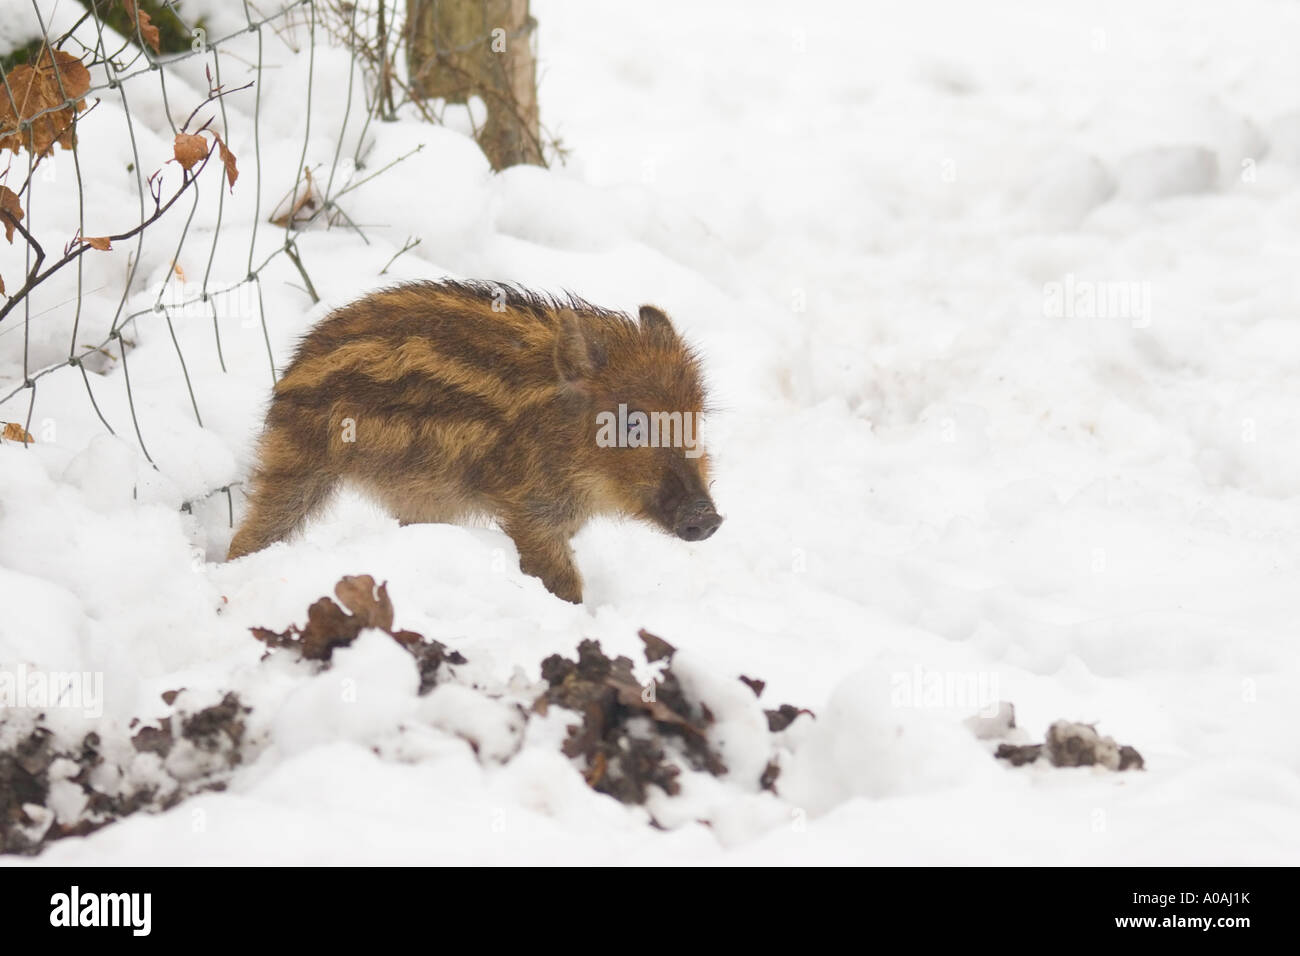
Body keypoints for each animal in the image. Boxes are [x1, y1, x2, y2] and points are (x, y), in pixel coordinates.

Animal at [227, 280, 721, 602]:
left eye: (693, 421)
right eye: (632, 423)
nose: (708, 517)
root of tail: (291, 372)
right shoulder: (528, 508)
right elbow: (559, 578)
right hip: (300, 459)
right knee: (257, 528)